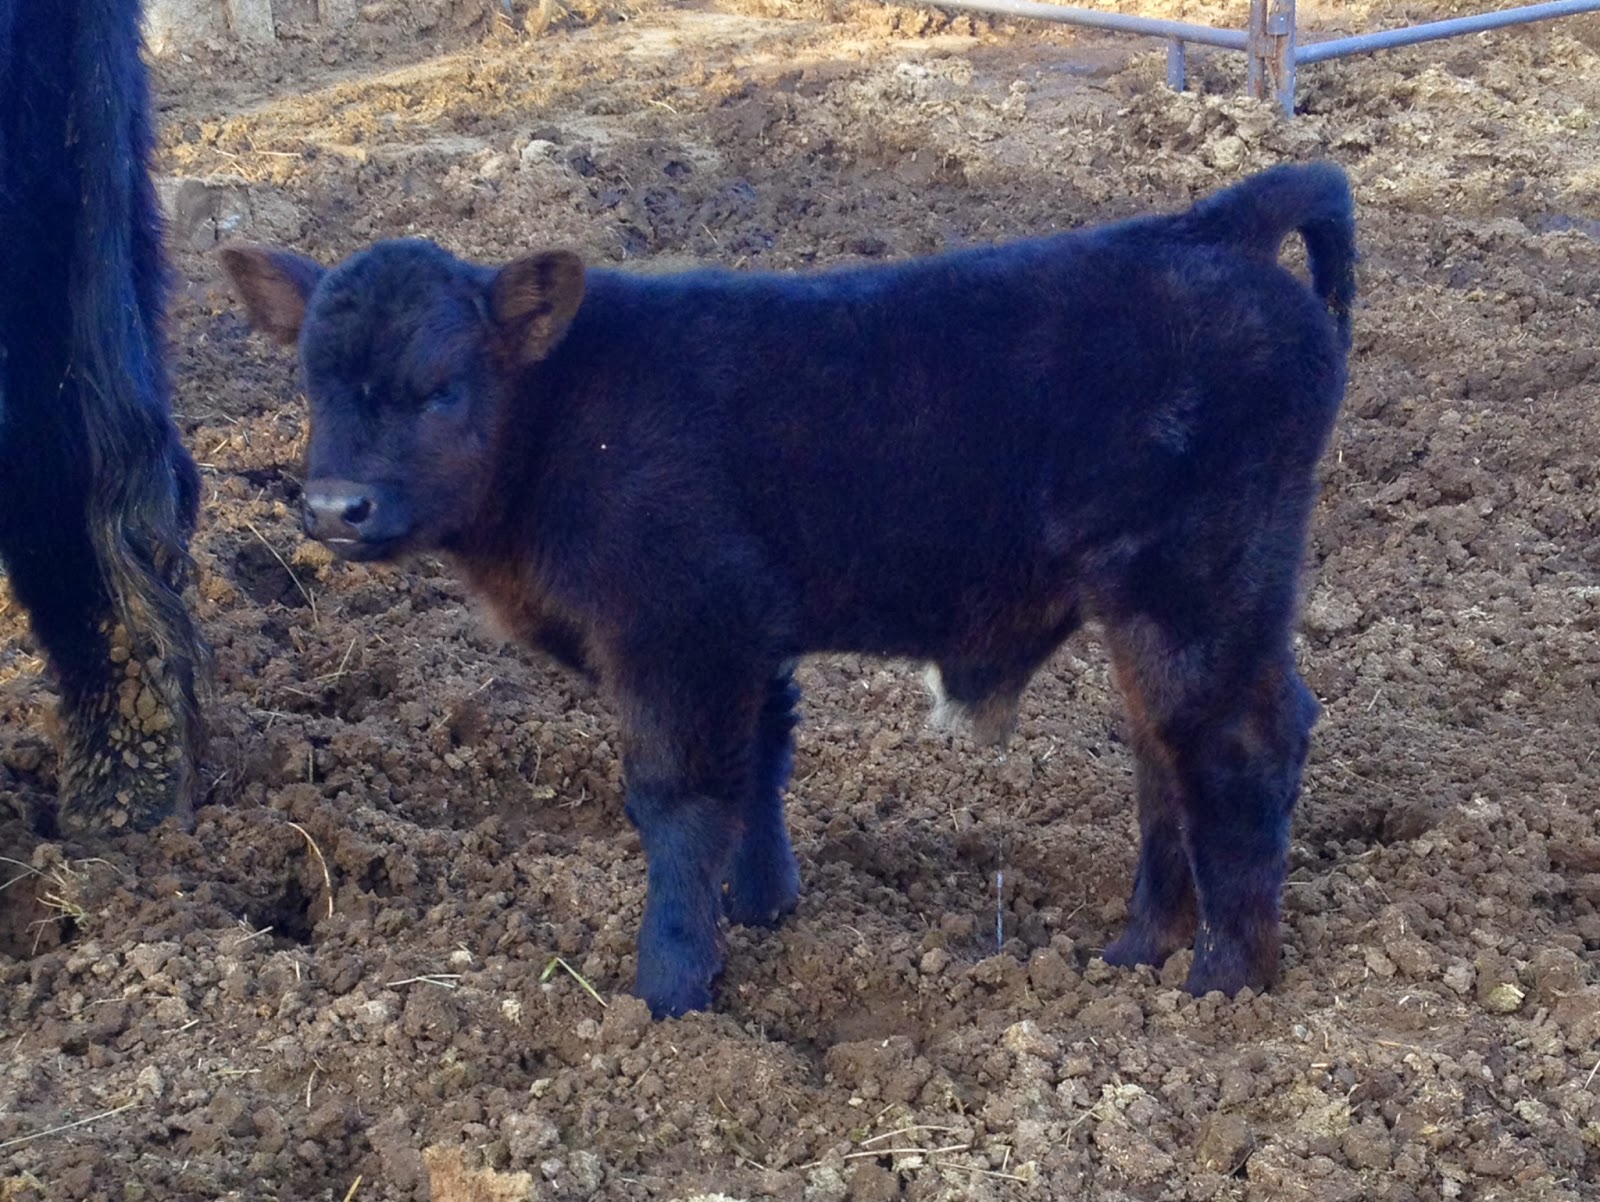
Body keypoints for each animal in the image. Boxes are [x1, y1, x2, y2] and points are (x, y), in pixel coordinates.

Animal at [221, 161, 1356, 1018]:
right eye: (310, 381)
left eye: (443, 386)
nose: (335, 507)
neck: (558, 421)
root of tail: (1207, 226)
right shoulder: (745, 631)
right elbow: (763, 759)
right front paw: (764, 905)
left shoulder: (679, 629)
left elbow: (679, 799)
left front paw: (672, 984)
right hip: (1153, 608)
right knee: (1168, 750)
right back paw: (1139, 950)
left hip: (1200, 587)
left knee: (1239, 742)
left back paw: (1222, 981)